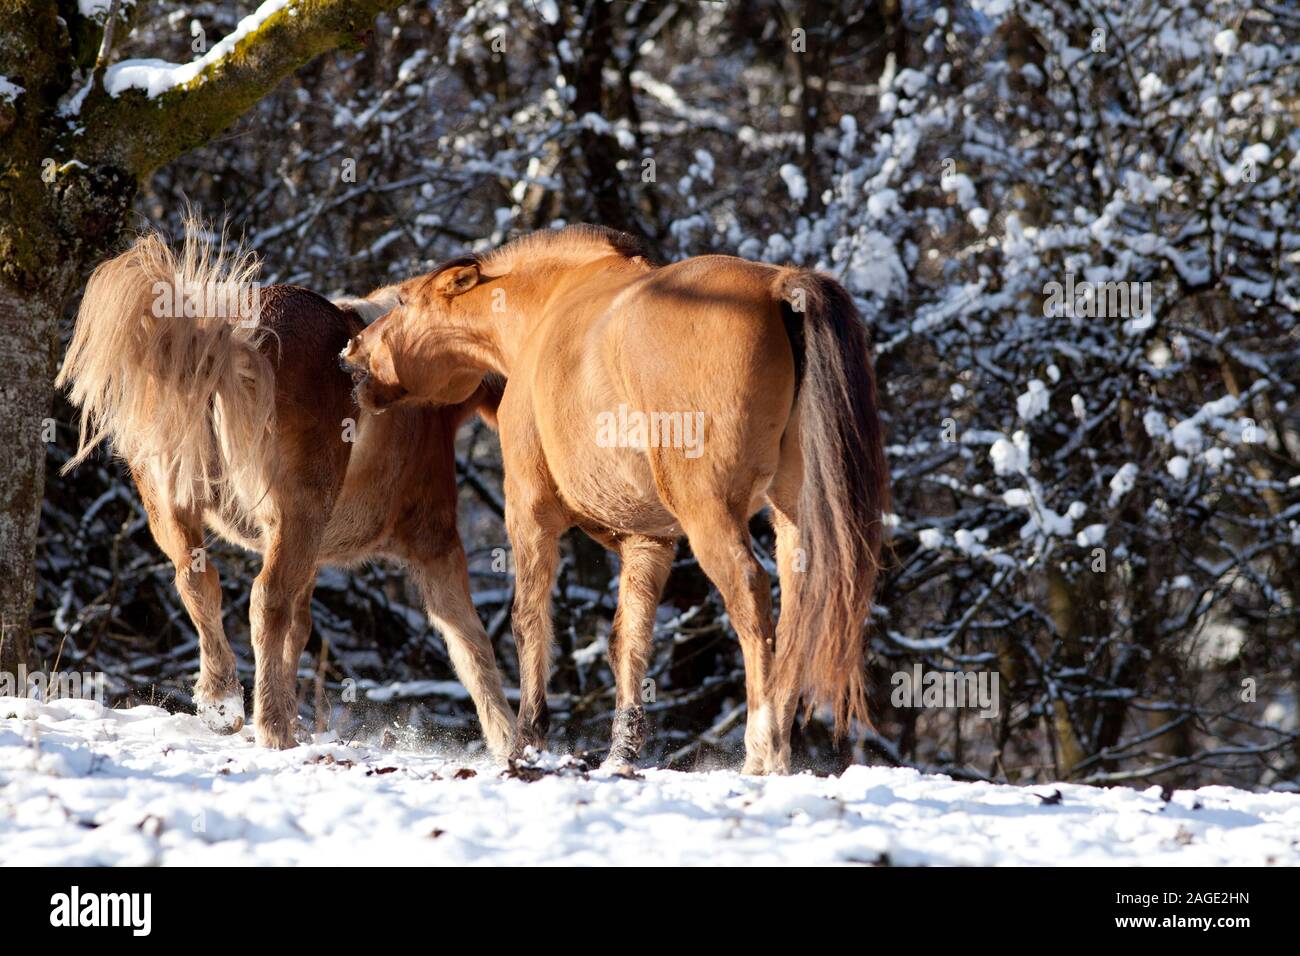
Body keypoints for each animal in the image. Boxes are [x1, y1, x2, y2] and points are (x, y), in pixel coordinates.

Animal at [57, 219, 516, 757]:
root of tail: (228, 340)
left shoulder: (311, 549)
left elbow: (299, 630)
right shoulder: (433, 542)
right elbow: (469, 640)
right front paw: (512, 740)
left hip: (177, 509)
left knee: (198, 582)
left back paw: (223, 703)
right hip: (294, 516)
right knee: (264, 600)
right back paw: (271, 727)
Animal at [340, 224, 889, 774]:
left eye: (403, 302)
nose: (352, 348)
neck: (544, 315)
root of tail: (779, 288)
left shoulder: (529, 512)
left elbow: (528, 619)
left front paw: (527, 740)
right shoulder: (648, 538)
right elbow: (629, 637)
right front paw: (622, 751)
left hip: (709, 513)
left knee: (751, 600)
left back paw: (763, 750)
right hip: (790, 515)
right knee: (797, 611)